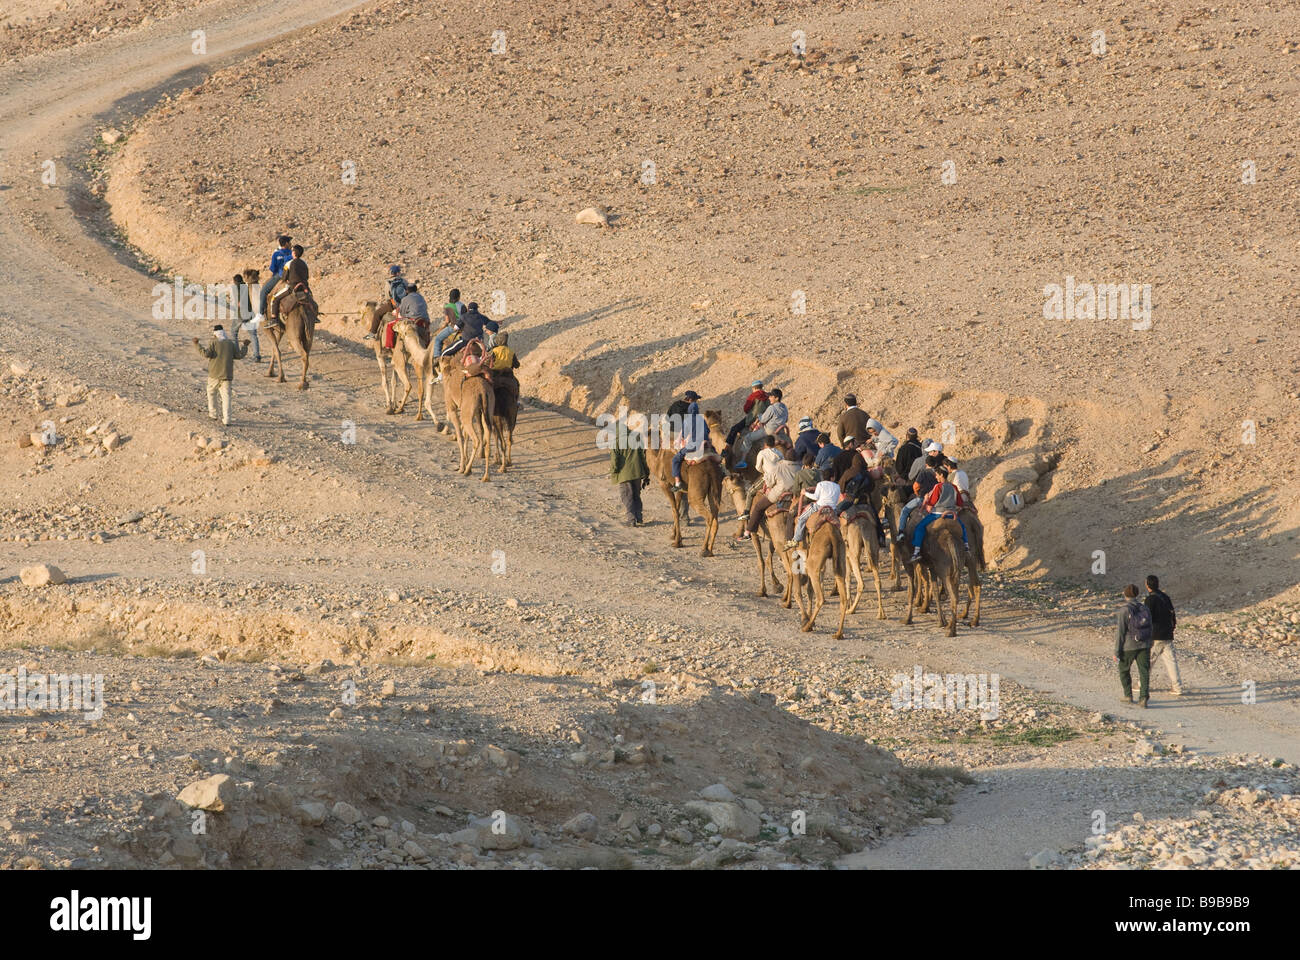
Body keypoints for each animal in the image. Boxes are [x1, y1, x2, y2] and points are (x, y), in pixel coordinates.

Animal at [793, 511, 849, 639]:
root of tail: (831, 534)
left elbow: (798, 591)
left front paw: (806, 619)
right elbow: (809, 590)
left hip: (813, 566)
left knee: (820, 598)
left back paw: (807, 627)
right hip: (840, 561)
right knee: (843, 598)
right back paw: (838, 634)